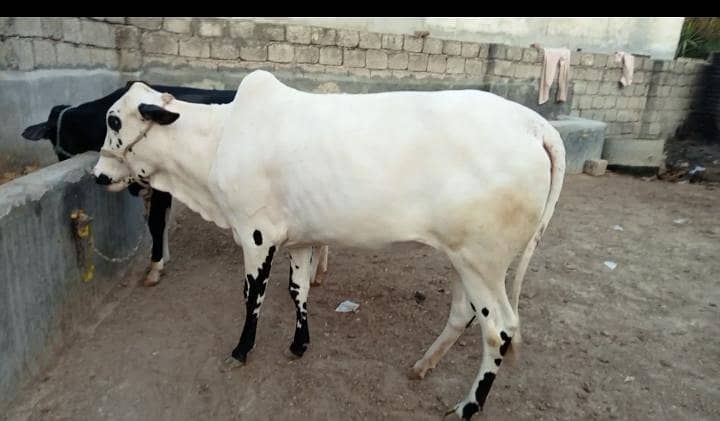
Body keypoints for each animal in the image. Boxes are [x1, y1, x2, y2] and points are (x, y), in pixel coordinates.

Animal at [21, 82, 329, 287]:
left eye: (62, 140)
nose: (98, 176)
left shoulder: (159, 187)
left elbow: (156, 222)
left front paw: (155, 266)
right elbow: (159, 221)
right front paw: (163, 257)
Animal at [92, 70, 565, 419]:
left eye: (114, 121)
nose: (98, 174)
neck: (218, 138)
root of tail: (536, 125)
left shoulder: (256, 235)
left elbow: (252, 296)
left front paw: (242, 351)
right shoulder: (300, 238)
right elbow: (296, 291)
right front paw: (299, 344)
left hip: (483, 262)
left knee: (499, 329)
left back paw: (468, 405)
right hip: (463, 259)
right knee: (464, 315)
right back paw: (422, 366)